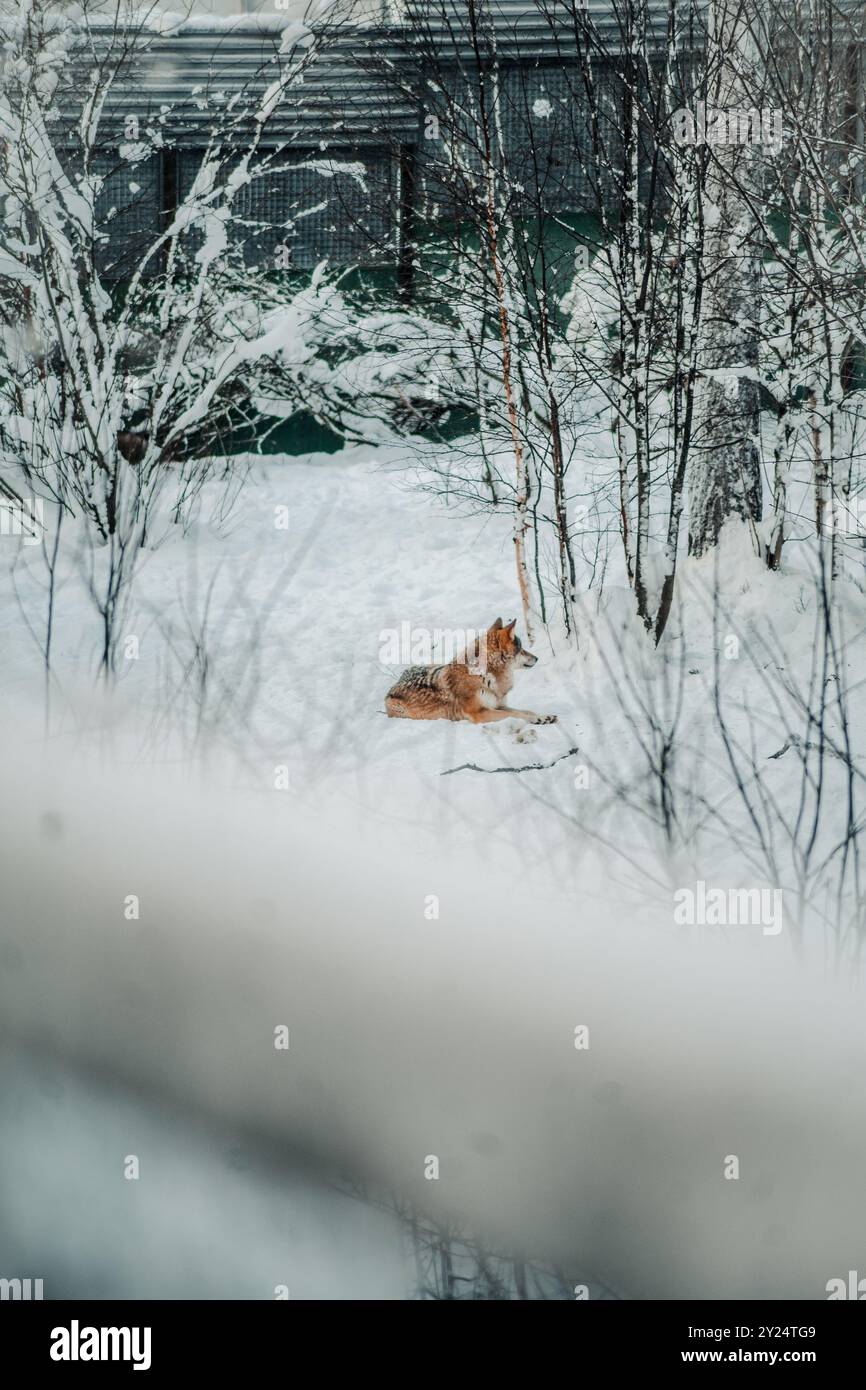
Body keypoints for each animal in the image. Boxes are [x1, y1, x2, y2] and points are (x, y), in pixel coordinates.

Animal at [384, 617, 557, 724]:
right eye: (521, 650)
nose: (537, 658)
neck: (485, 675)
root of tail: (396, 681)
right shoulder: (480, 712)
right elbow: (516, 714)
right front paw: (537, 720)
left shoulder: (498, 706)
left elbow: (527, 711)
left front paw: (544, 717)